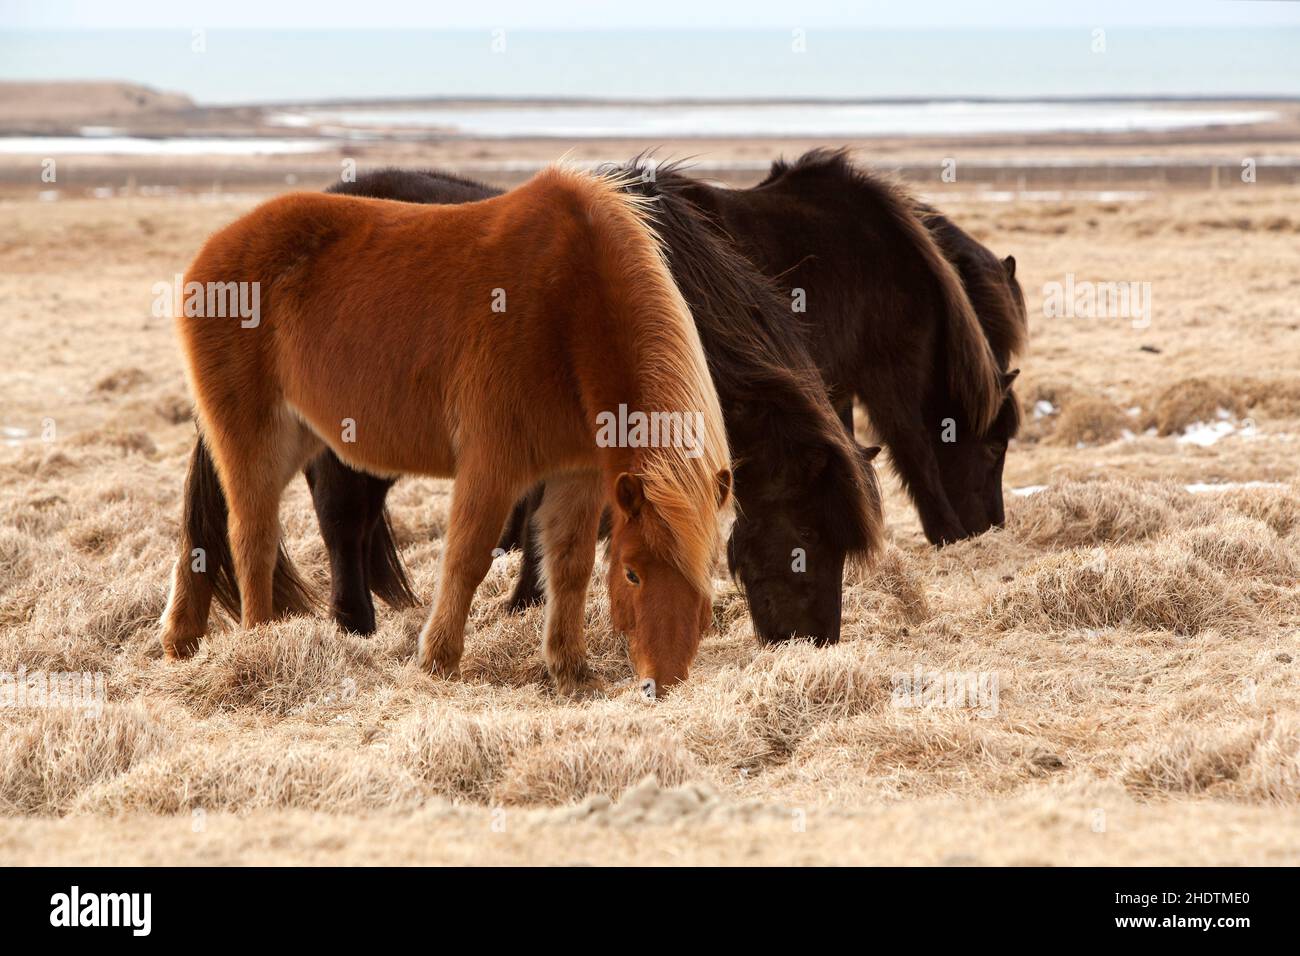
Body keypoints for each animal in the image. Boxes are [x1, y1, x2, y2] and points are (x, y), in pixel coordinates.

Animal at [158, 165, 732, 694]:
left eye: (707, 570)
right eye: (632, 572)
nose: (663, 682)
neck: (567, 307)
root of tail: (217, 247)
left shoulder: (579, 475)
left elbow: (570, 564)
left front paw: (569, 670)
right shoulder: (493, 464)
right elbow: (468, 558)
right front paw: (438, 660)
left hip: (294, 437)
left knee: (211, 526)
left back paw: (182, 639)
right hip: (254, 436)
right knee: (251, 536)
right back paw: (259, 641)